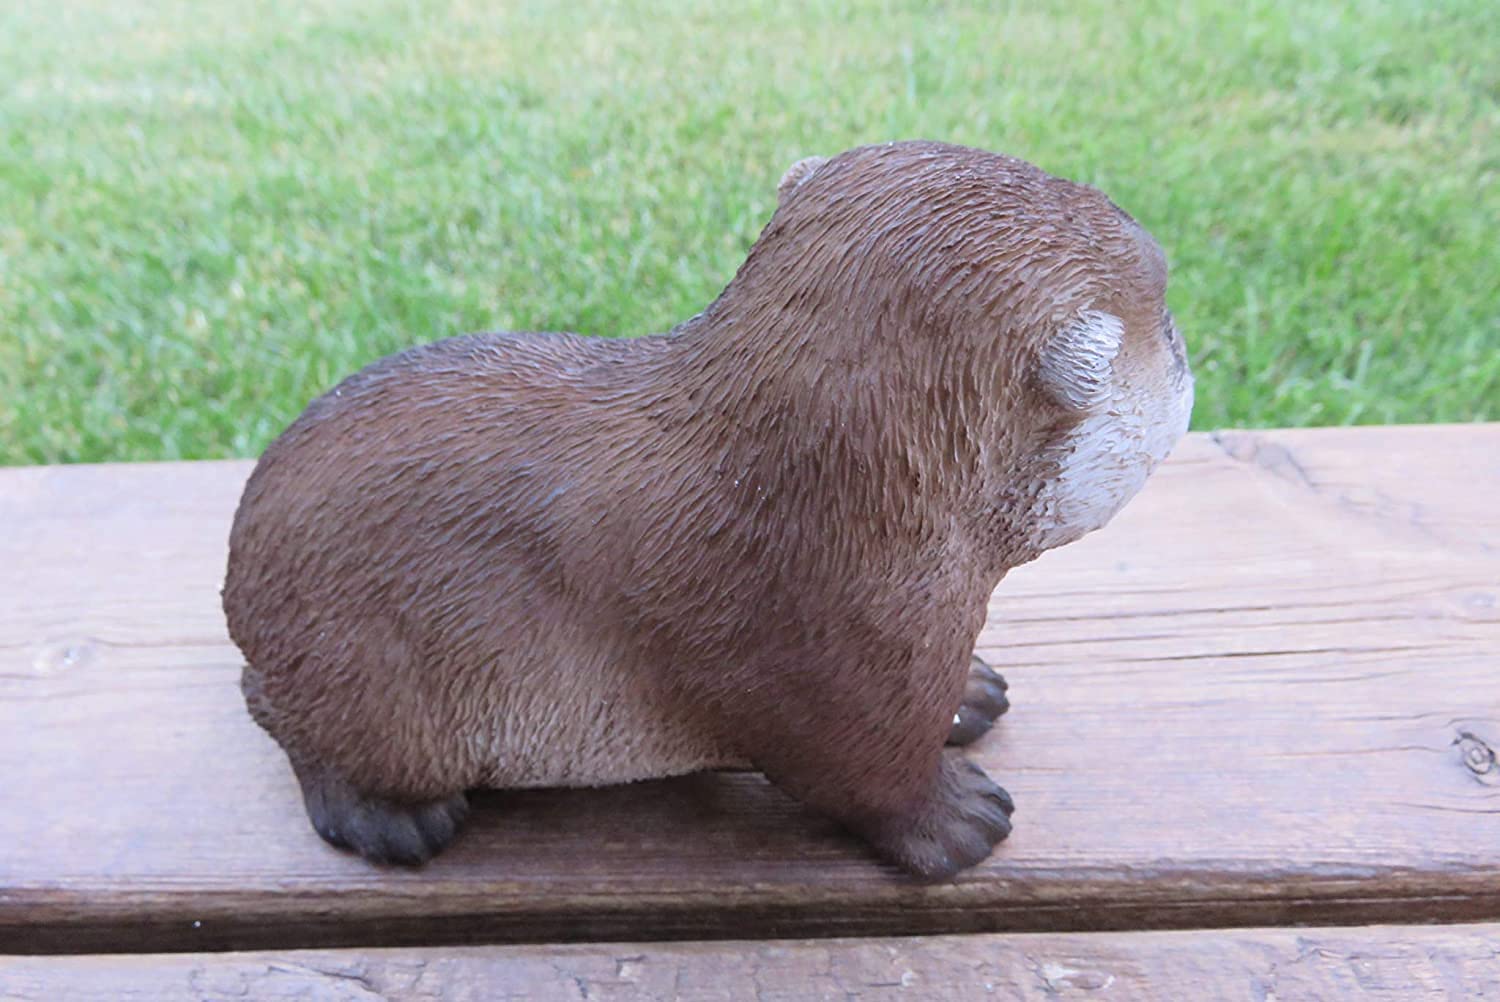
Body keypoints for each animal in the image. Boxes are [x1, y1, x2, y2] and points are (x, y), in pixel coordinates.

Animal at [223, 141, 1193, 880]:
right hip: (369, 675)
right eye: (1168, 311)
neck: (822, 496)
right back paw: (387, 817)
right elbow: (863, 773)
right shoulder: (849, 641)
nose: (1186, 351)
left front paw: (975, 691)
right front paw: (958, 820)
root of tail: (240, 592)